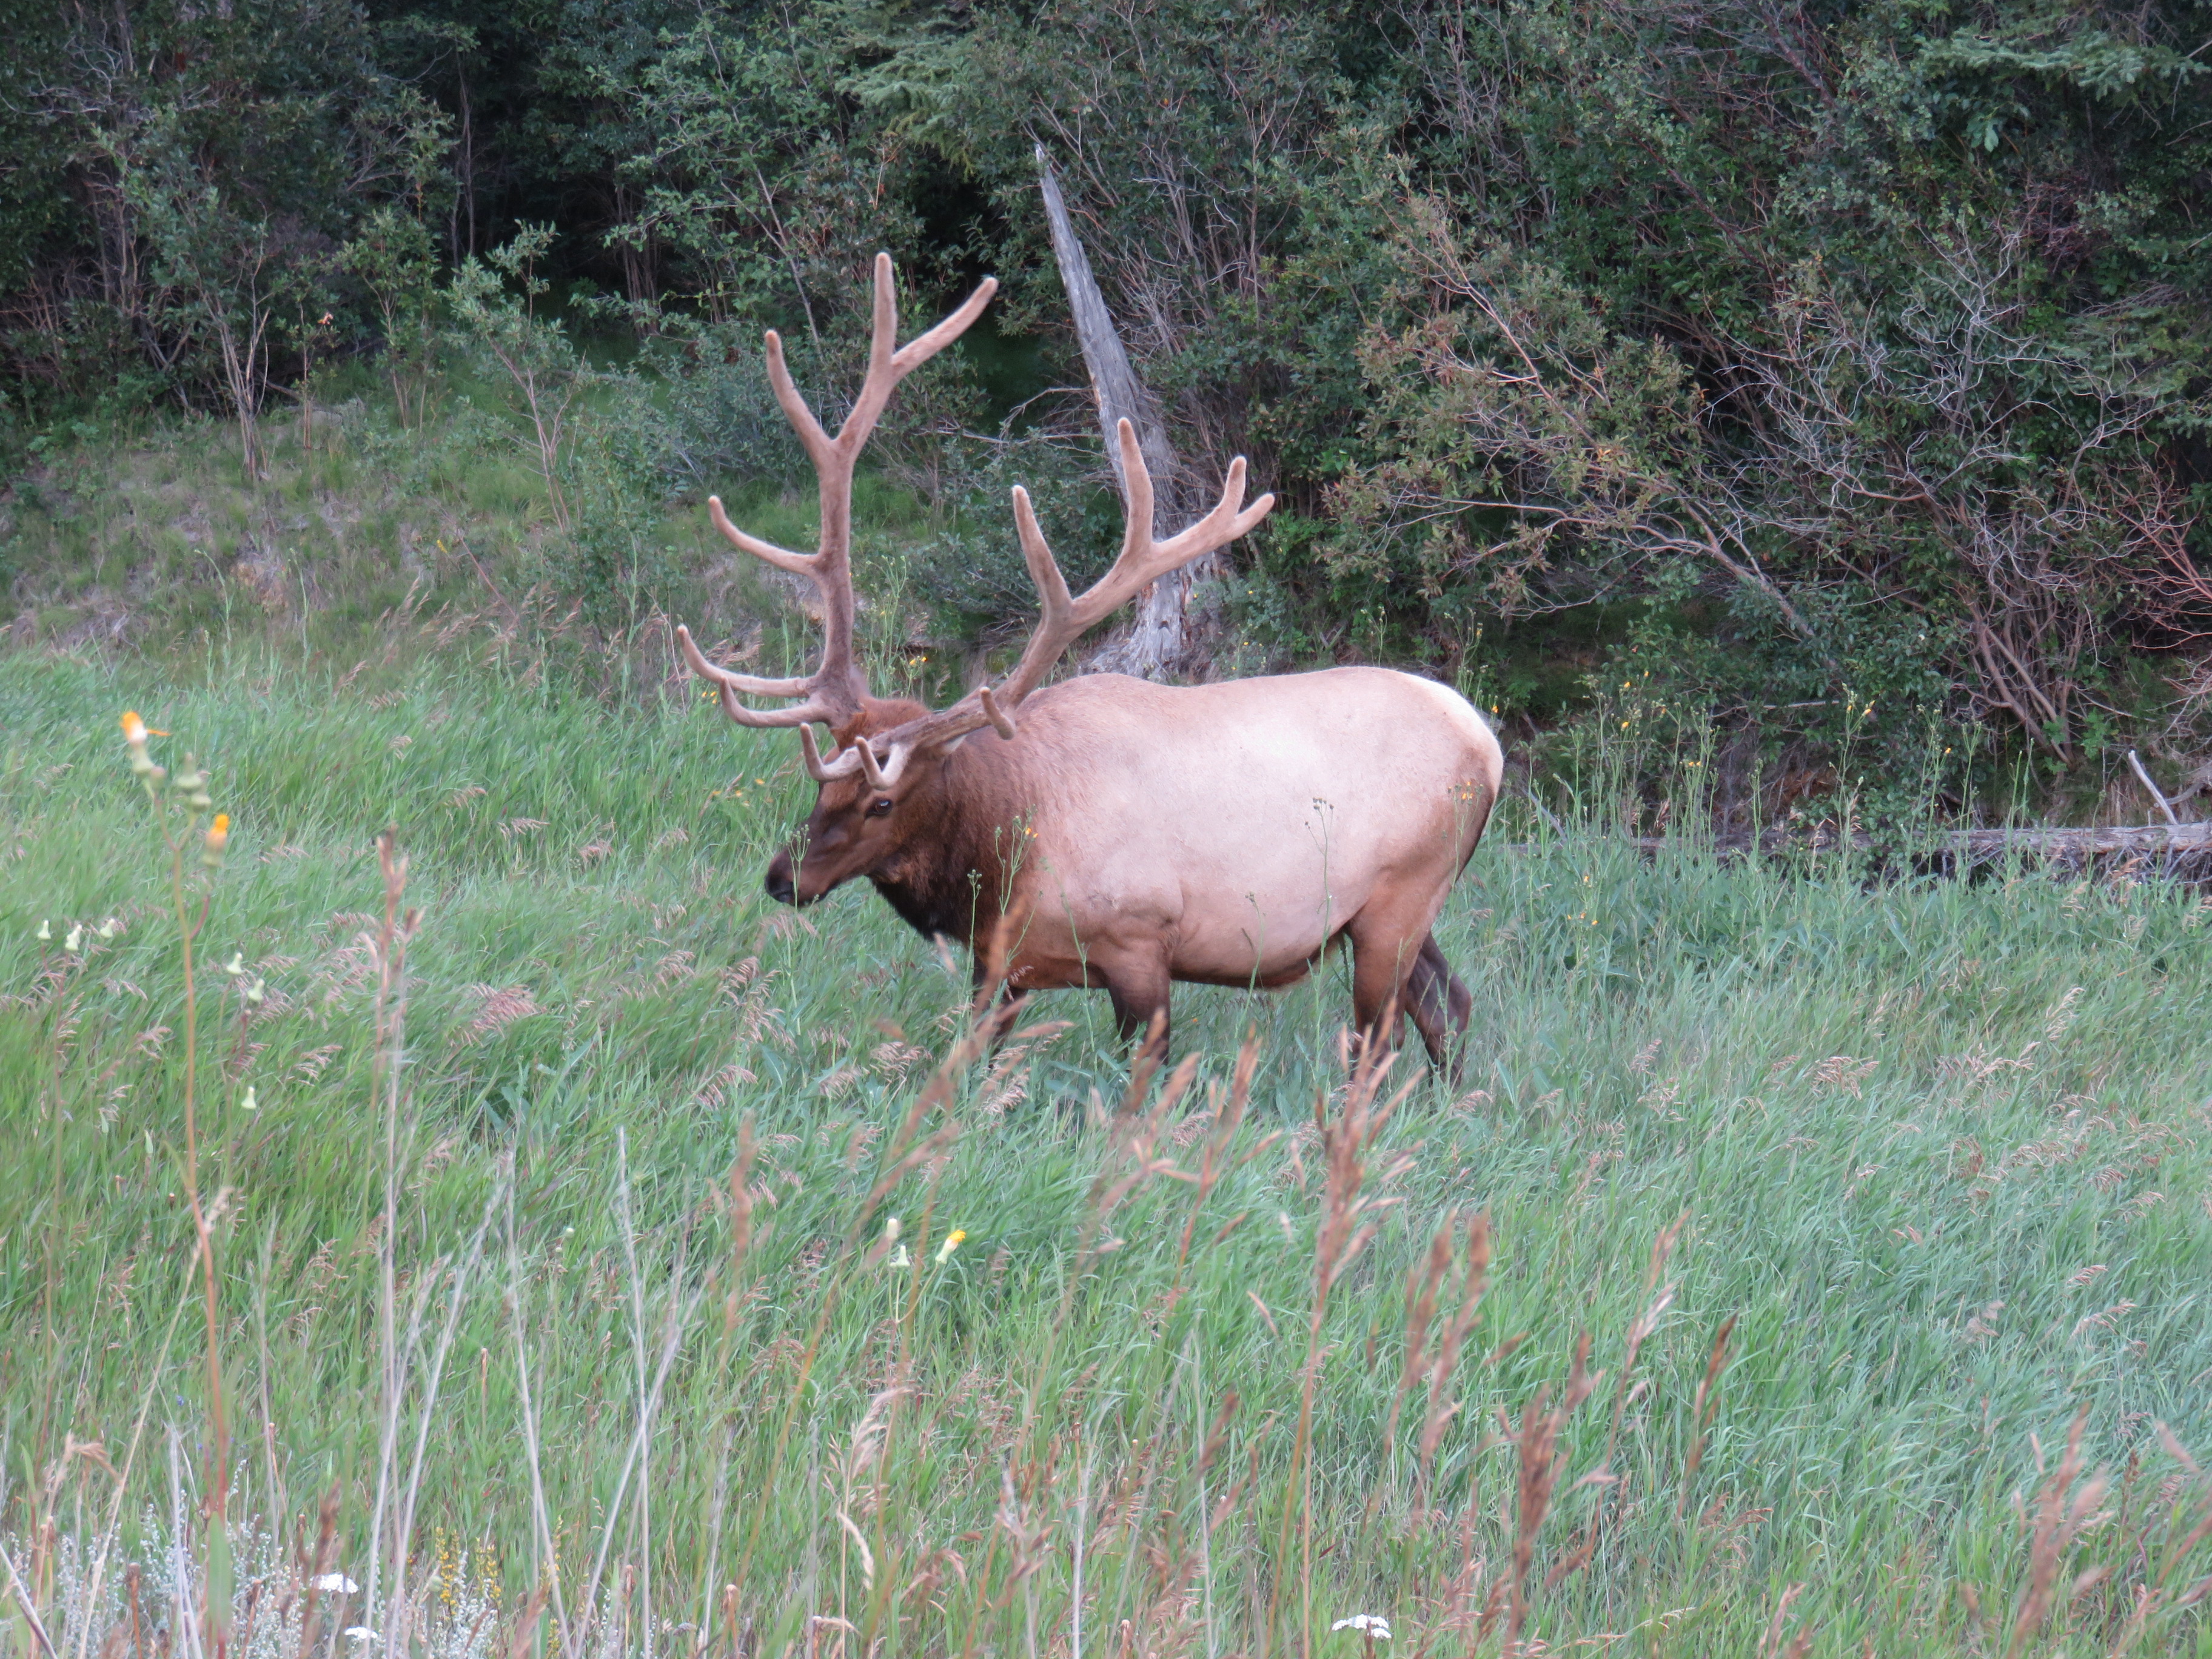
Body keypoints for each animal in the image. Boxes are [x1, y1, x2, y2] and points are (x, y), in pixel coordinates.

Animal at [676, 254, 1503, 1065]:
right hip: (1394, 914)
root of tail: (1488, 746)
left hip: (1402, 894)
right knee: (1452, 1005)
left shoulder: (1139, 942)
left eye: (882, 803)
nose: (782, 878)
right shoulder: (1002, 966)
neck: (1007, 850)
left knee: (1383, 1035)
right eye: (820, 789)